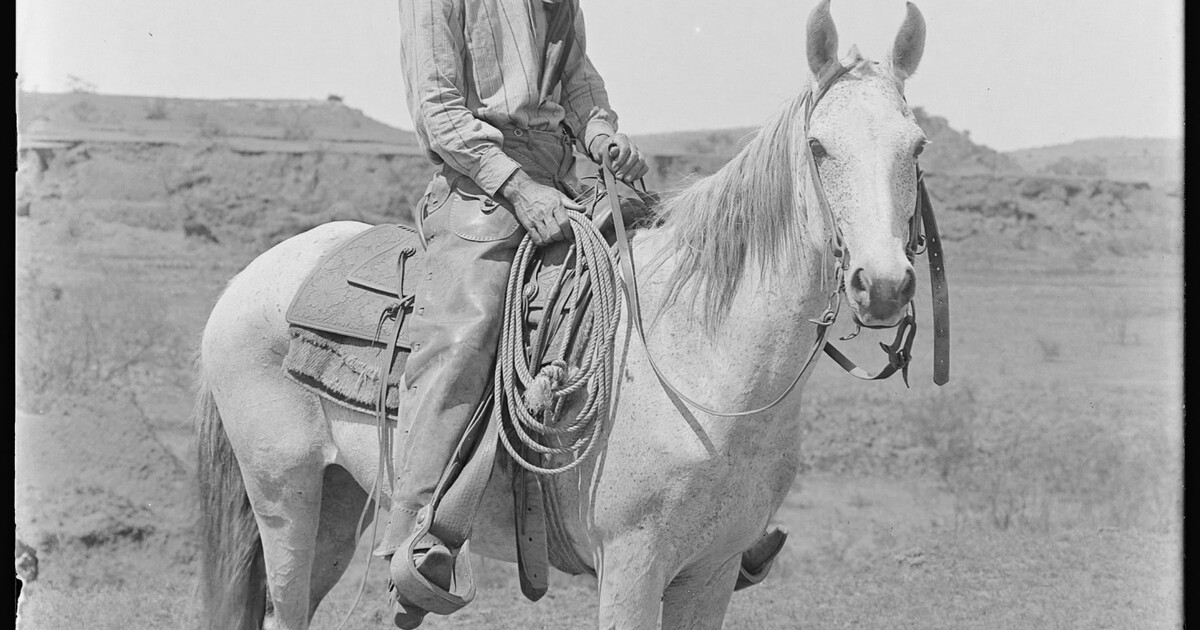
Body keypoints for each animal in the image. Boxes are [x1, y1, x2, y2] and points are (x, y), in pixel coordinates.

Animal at [194, 2, 929, 628]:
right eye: (819, 146)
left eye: (917, 146)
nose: (883, 285)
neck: (708, 364)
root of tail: (245, 280)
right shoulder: (632, 564)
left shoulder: (712, 570)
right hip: (284, 496)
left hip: (338, 501)